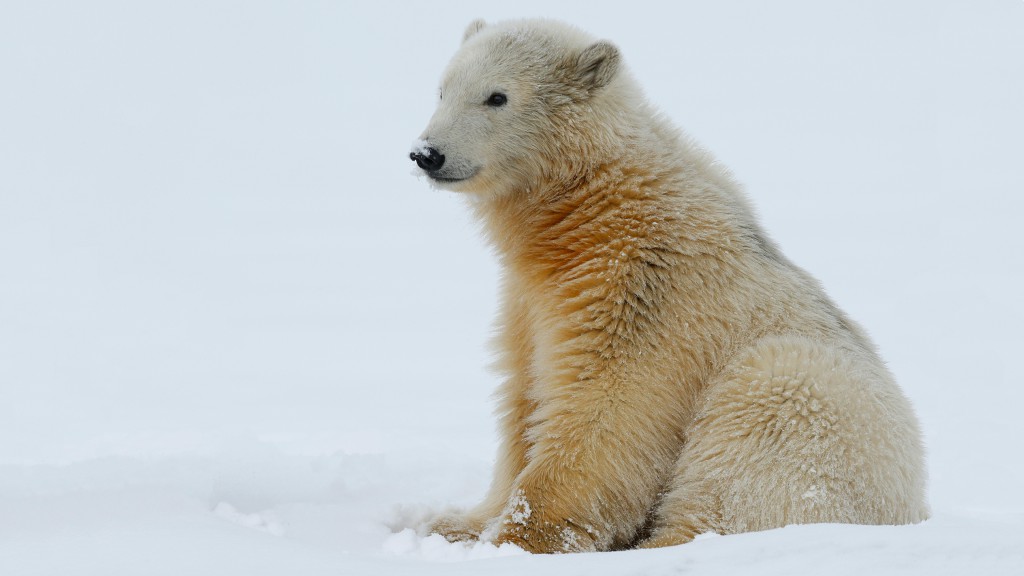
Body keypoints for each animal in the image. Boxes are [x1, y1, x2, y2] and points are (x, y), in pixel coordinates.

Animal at [409, 18, 928, 553]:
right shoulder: (531, 300)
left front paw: (518, 539)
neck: (594, 205)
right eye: (443, 88)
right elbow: (525, 394)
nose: (427, 153)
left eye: (497, 96)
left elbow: (608, 405)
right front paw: (457, 525)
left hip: (811, 409)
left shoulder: (645, 284)